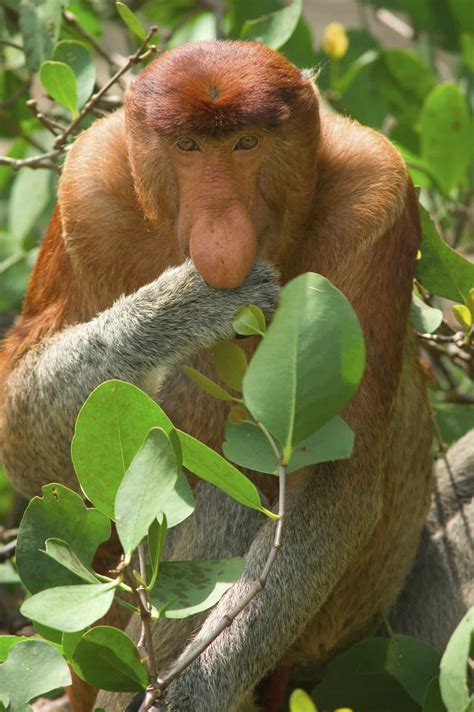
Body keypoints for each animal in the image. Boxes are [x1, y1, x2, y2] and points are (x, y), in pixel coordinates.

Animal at [0, 41, 435, 711]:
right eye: (189, 147)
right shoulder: (88, 187)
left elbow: (336, 479)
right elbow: (20, 422)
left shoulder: (378, 197)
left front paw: (191, 693)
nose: (221, 234)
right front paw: (184, 306)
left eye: (247, 144)